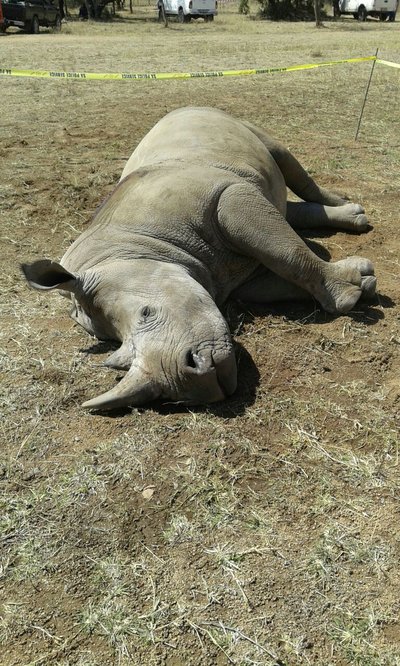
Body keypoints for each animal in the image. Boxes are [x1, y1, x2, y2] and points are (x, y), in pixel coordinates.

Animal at [22, 107, 376, 411]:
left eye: (147, 313)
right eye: (117, 359)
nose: (193, 384)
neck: (130, 248)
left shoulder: (225, 196)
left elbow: (288, 253)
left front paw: (347, 298)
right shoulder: (232, 277)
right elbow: (281, 274)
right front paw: (363, 279)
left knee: (283, 160)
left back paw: (353, 212)